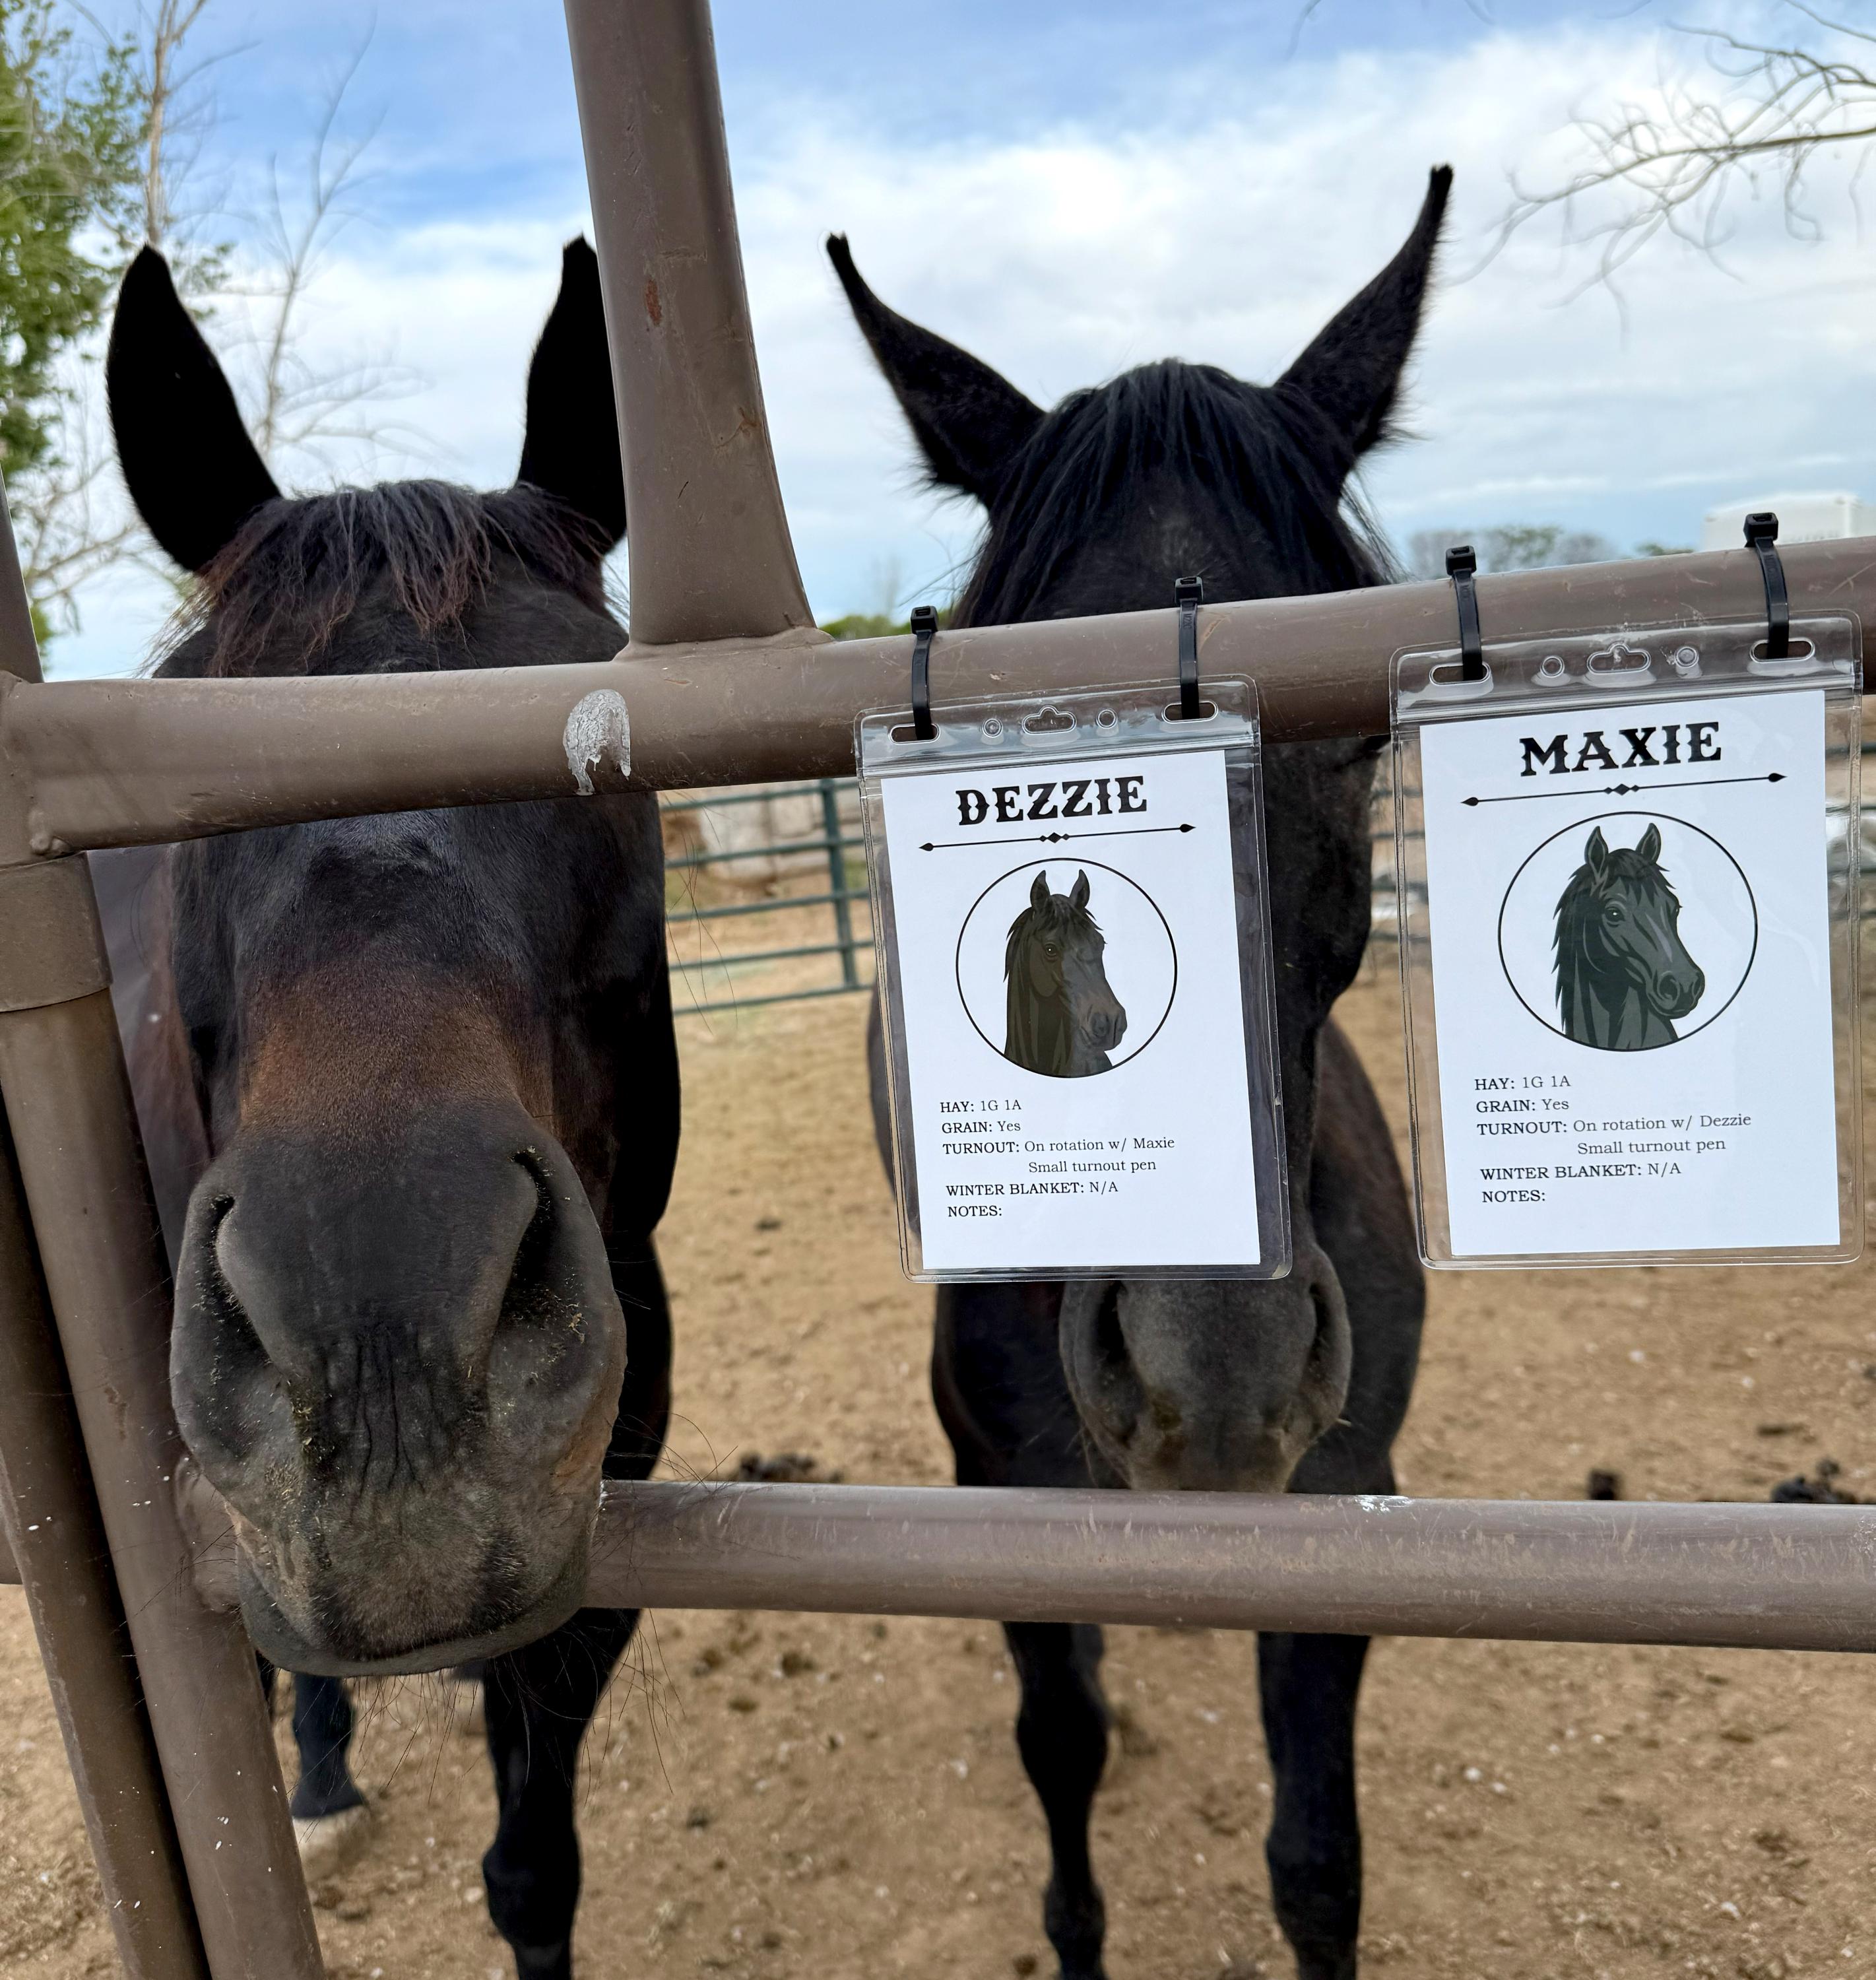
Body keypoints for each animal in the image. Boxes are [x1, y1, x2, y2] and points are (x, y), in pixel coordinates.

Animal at [103, 238, 678, 1980]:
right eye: (186, 771)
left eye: (614, 761)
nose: (380, 1331)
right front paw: (307, 1781)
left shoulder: (592, 1557)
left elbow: (532, 1867)